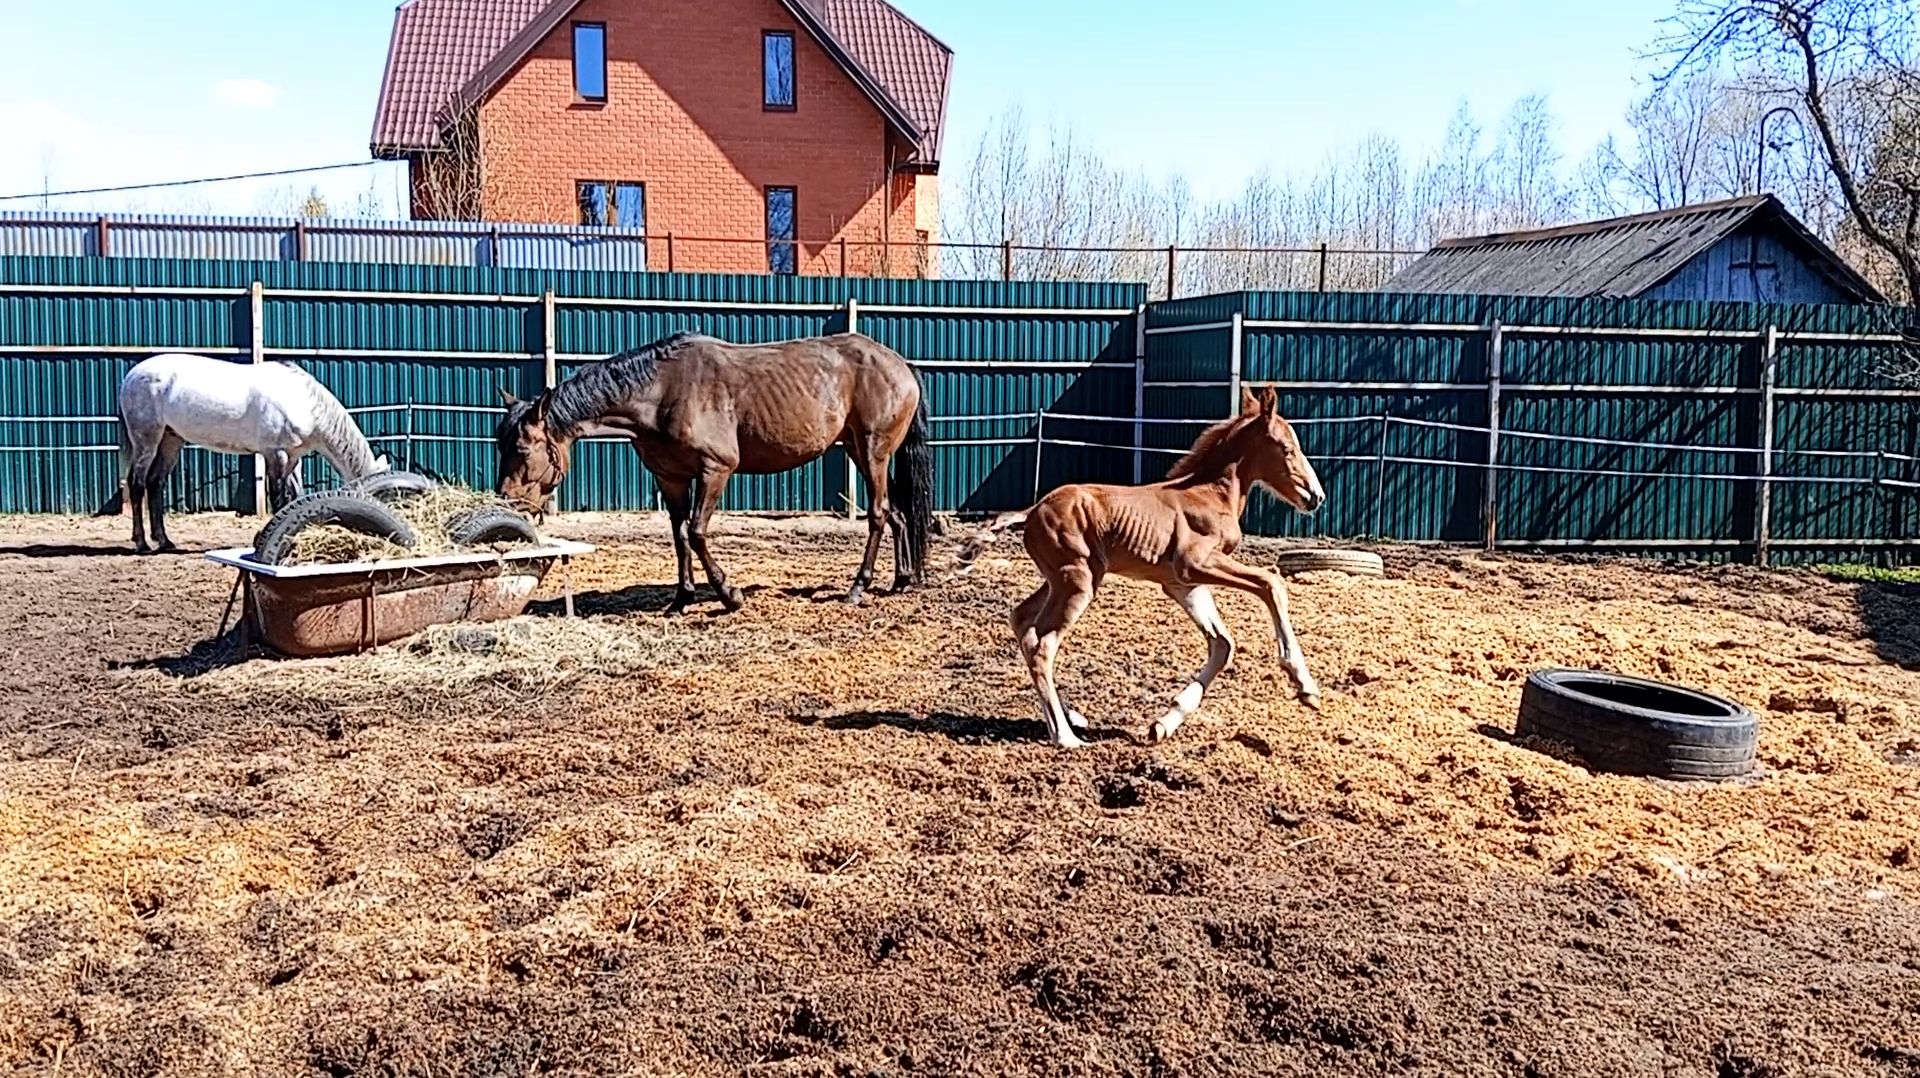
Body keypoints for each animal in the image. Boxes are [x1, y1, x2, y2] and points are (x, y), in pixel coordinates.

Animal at [117, 352, 390, 553]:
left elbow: (296, 496)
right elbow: (278, 497)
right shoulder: (275, 454)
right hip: (147, 439)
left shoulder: (294, 457)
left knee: (155, 483)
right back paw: (142, 543)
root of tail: (131, 375)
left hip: (170, 440)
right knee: (137, 484)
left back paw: (164, 541)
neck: (303, 402)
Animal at [495, 331, 933, 612]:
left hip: (874, 452)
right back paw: (901, 579)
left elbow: (698, 532)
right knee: (896, 514)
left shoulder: (715, 470)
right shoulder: (670, 478)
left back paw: (858, 588)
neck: (661, 393)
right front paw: (682, 598)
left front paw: (728, 594)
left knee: (878, 515)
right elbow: (679, 536)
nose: (507, 504)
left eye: (522, 449)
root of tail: (901, 366)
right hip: (862, 452)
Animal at [957, 386, 1327, 749]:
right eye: (1287, 448)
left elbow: (1222, 644)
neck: (1209, 494)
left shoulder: (1181, 583)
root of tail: (1032, 510)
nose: (1316, 496)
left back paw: (1072, 717)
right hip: (1078, 581)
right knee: (1042, 643)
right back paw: (1065, 736)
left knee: (1021, 620)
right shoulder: (1194, 563)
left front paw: (1163, 724)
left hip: (1058, 579)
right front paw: (1304, 685)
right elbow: (1271, 583)